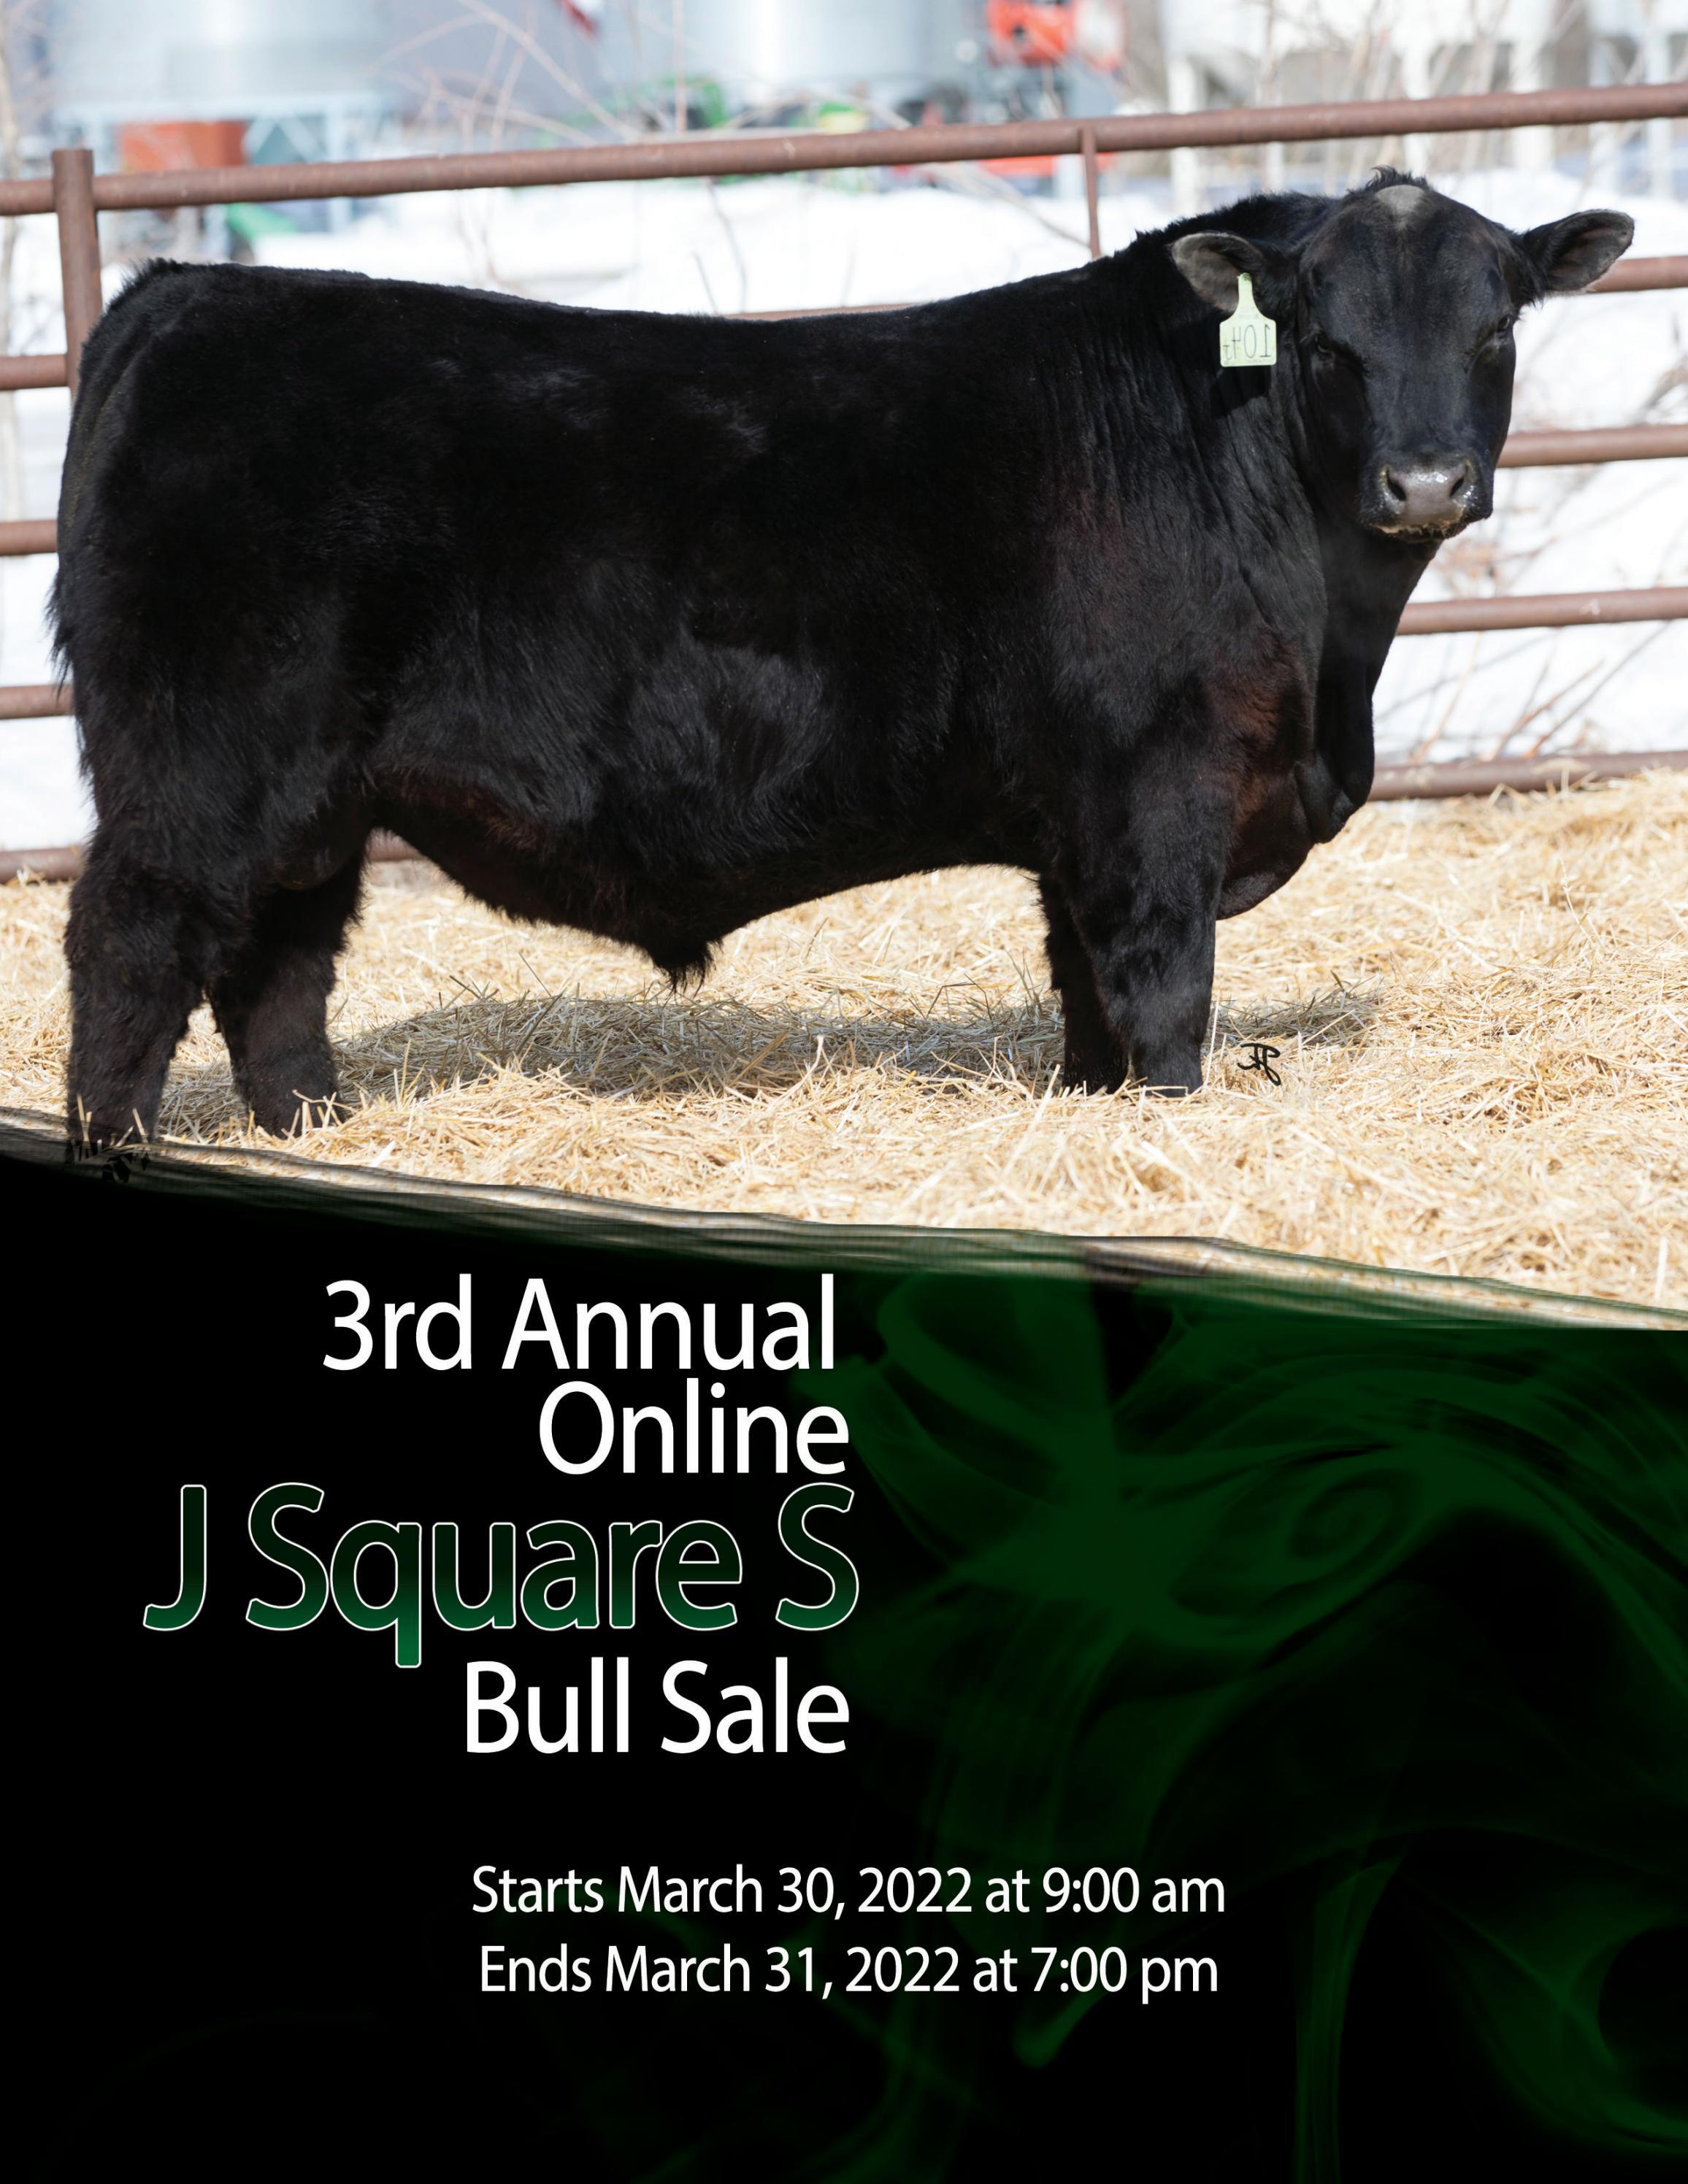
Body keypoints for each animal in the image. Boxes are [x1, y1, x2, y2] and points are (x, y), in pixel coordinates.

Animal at [52, 171, 1631, 1145]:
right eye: (1321, 337)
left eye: (1498, 326)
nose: (1423, 482)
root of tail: (183, 292)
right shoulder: (1154, 791)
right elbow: (1162, 991)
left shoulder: (1077, 819)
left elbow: (1085, 996)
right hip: (198, 762)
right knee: (133, 947)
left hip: (312, 793)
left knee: (279, 971)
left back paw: (321, 1134)